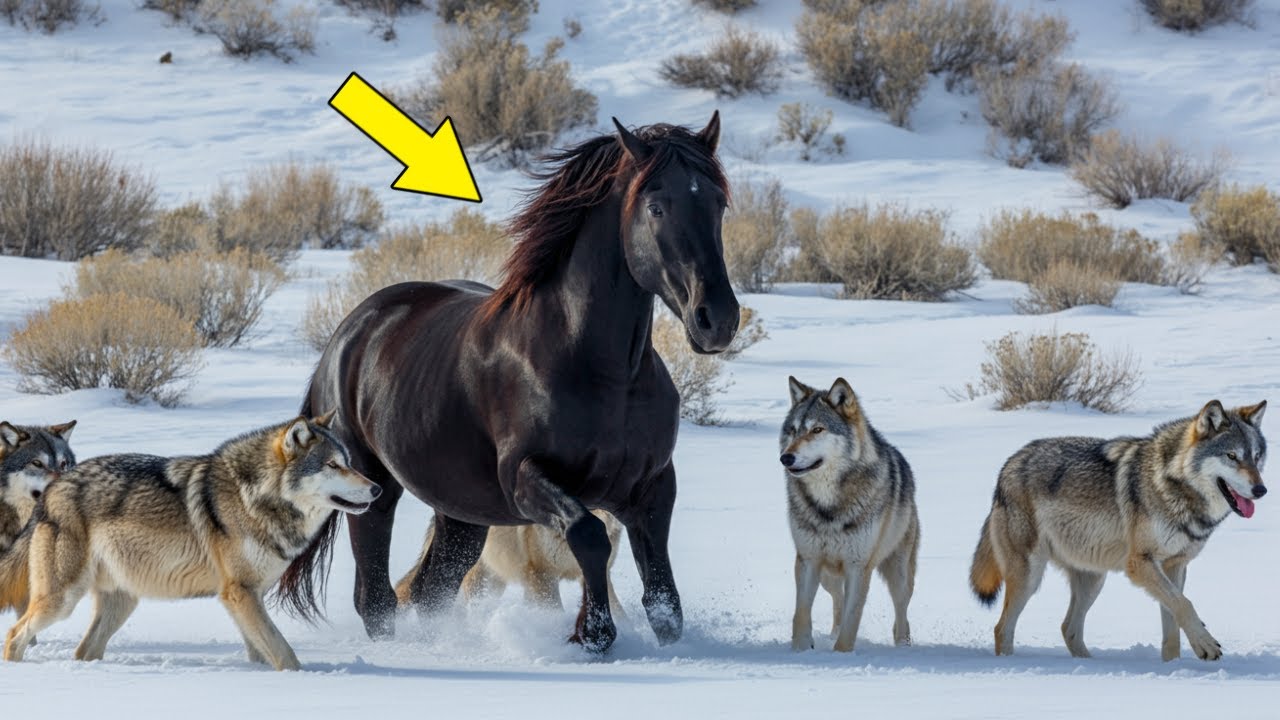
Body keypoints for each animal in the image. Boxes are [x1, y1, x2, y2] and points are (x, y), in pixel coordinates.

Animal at [1, 411, 380, 671]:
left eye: (348, 462)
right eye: (332, 465)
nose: (376, 488)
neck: (256, 497)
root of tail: (52, 489)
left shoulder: (247, 597)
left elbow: (263, 651)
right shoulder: (239, 594)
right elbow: (285, 654)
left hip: (121, 602)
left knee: (83, 651)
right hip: (61, 601)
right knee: (14, 635)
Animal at [781, 377, 920, 653]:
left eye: (817, 430)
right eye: (793, 430)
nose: (786, 458)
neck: (829, 507)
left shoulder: (858, 567)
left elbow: (852, 617)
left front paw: (842, 654)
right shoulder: (808, 560)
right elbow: (801, 613)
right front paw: (800, 651)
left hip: (899, 574)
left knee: (901, 613)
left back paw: (903, 647)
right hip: (828, 576)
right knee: (838, 598)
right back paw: (832, 634)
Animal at [969, 399, 1267, 661]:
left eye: (1256, 457)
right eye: (1232, 456)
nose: (1261, 490)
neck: (1171, 484)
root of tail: (1008, 466)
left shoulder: (1175, 566)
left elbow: (1173, 622)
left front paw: (1173, 666)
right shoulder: (1140, 563)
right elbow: (1185, 604)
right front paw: (1205, 644)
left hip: (1093, 580)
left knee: (1068, 629)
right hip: (1029, 577)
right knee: (1002, 628)